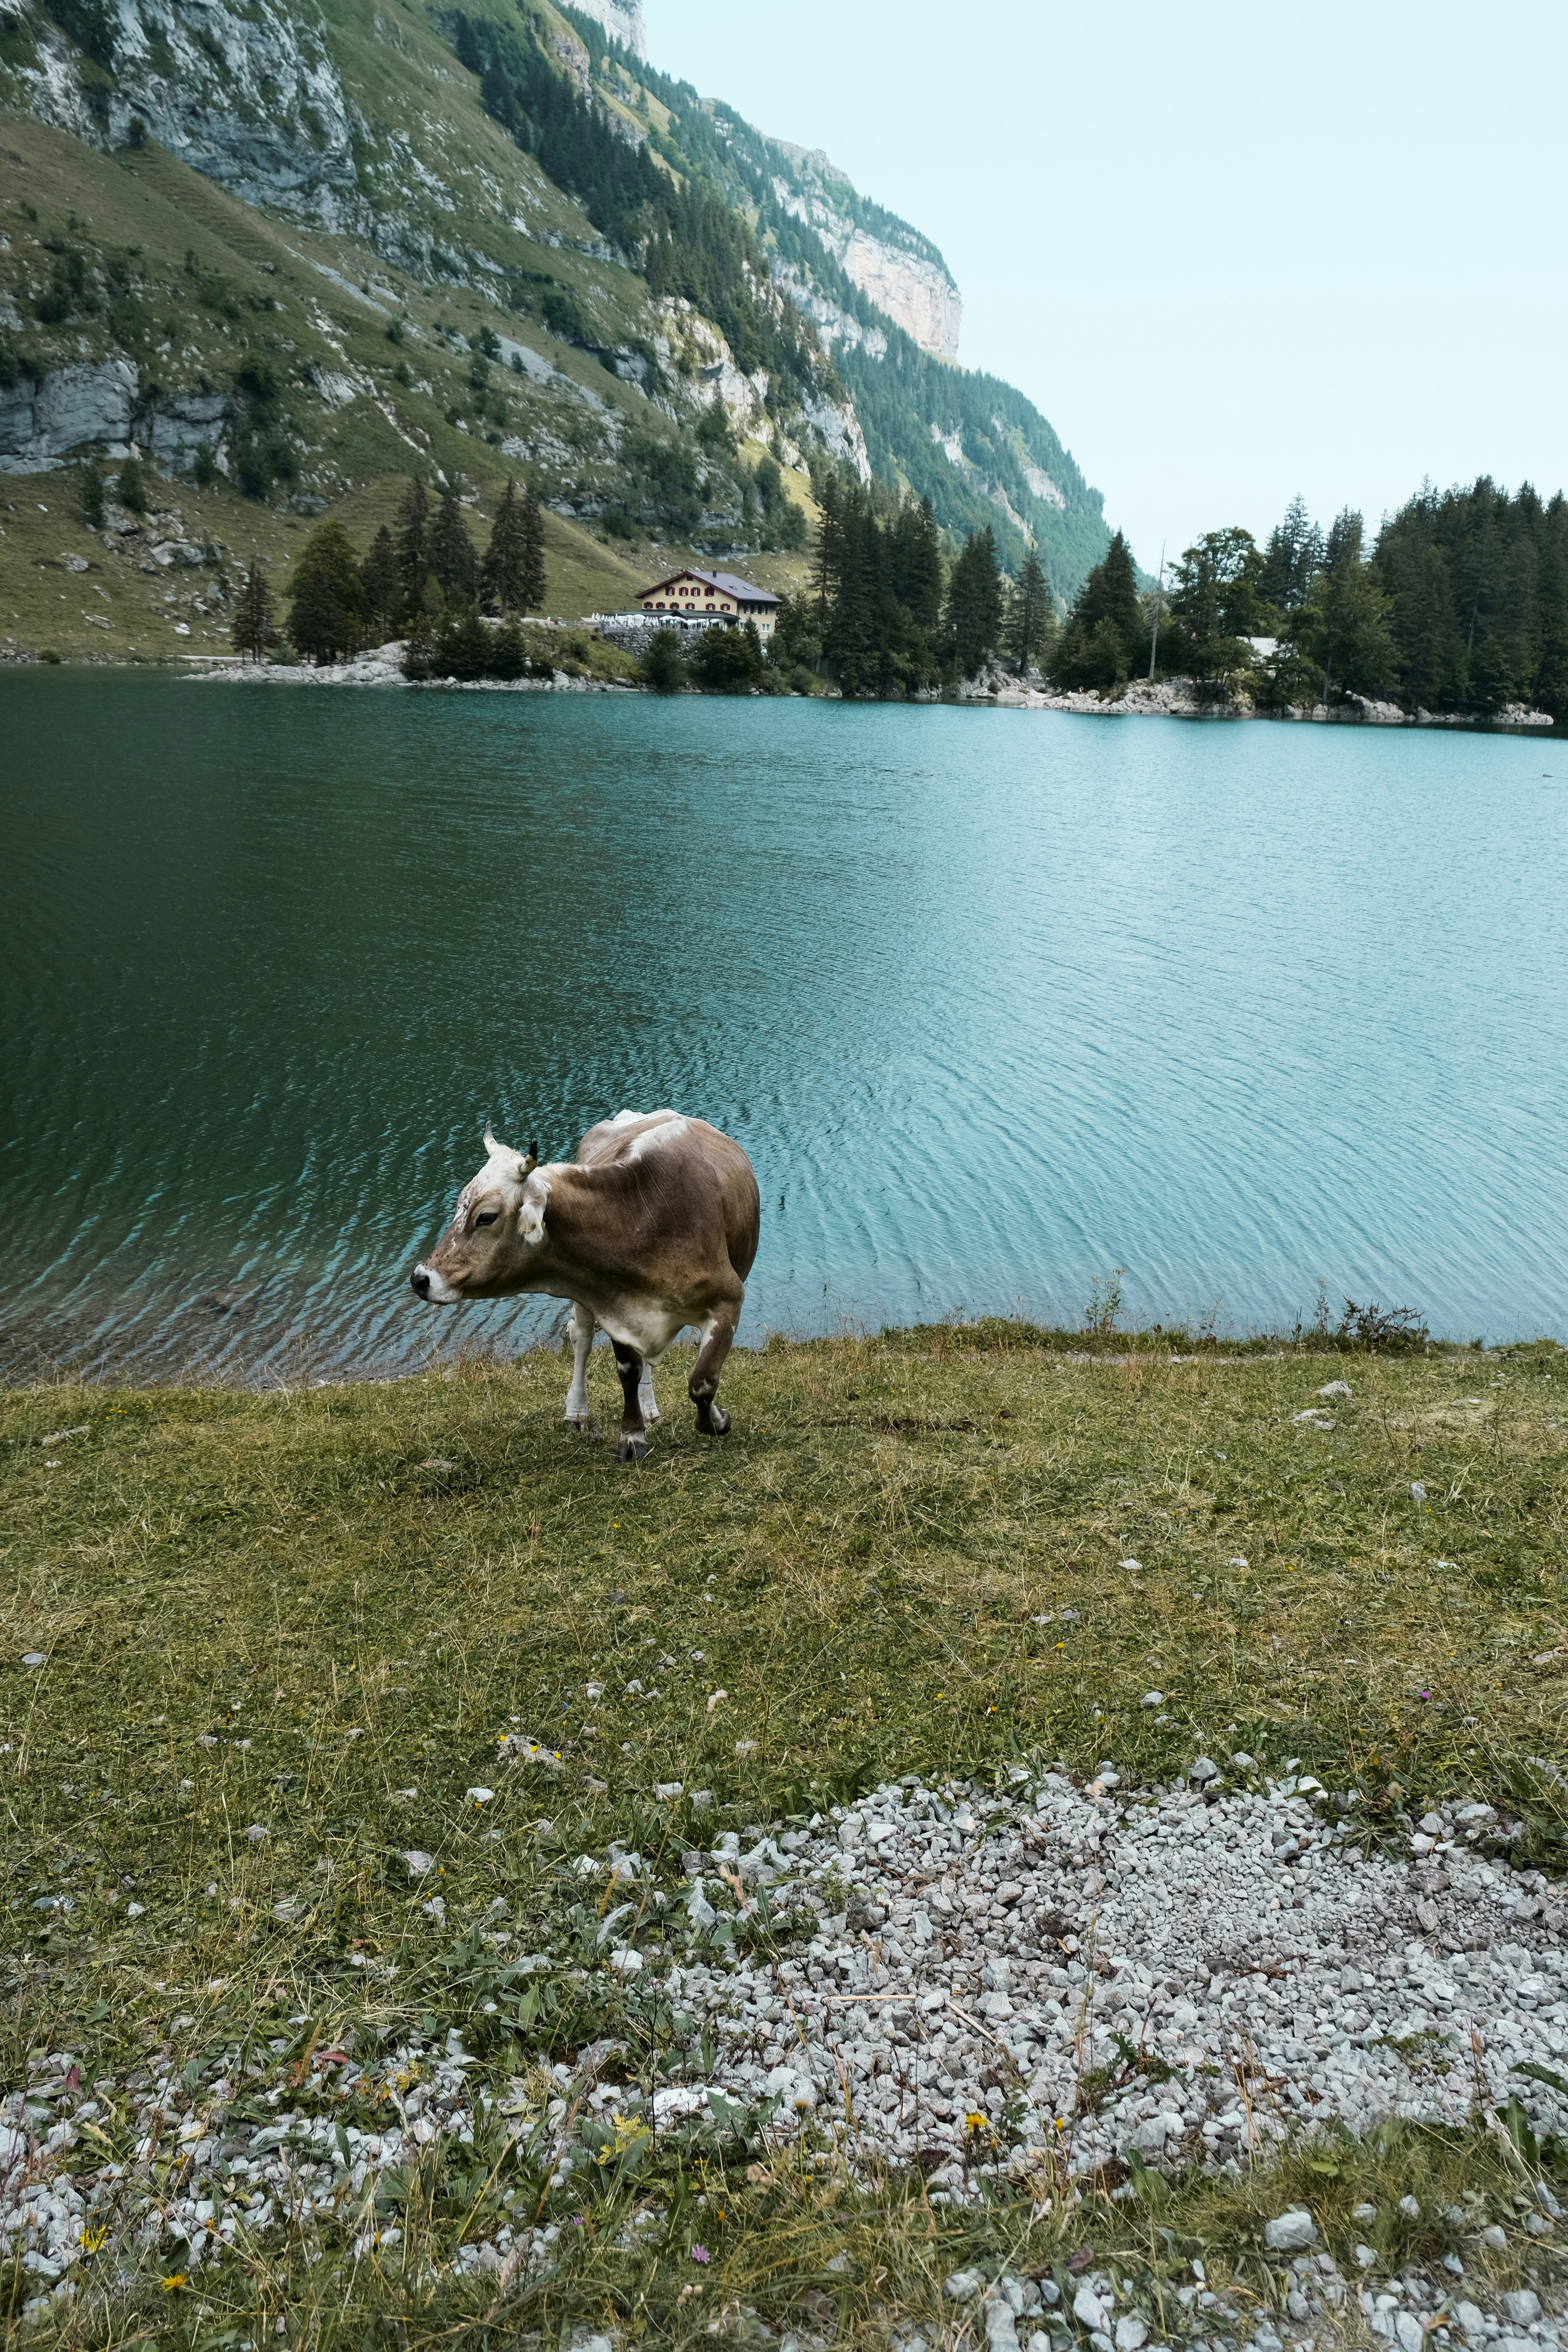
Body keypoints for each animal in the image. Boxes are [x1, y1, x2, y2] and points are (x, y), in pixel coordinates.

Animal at [410, 1110, 760, 1462]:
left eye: (486, 1217)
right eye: (459, 1205)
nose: (421, 1279)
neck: (639, 1218)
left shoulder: (728, 1301)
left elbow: (702, 1382)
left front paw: (717, 1421)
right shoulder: (610, 1300)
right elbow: (628, 1371)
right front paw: (632, 1436)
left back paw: (650, 1408)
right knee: (581, 1339)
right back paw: (577, 1411)